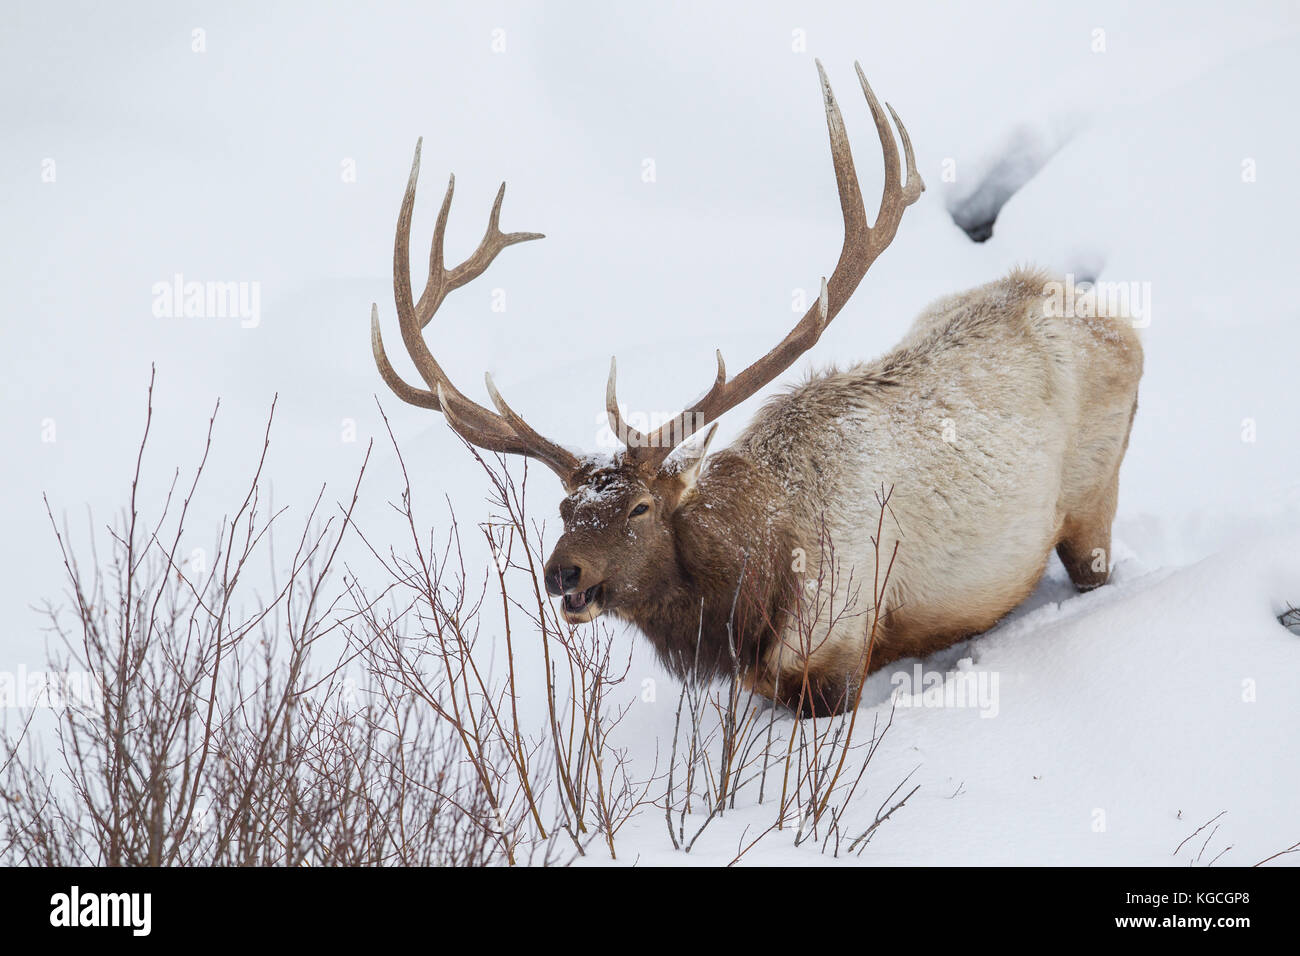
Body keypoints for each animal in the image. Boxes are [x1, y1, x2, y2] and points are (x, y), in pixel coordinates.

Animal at [369, 61, 1143, 716]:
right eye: (564, 508)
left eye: (641, 508)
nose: (561, 572)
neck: (751, 600)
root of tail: (1109, 315)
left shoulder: (840, 654)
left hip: (1095, 496)